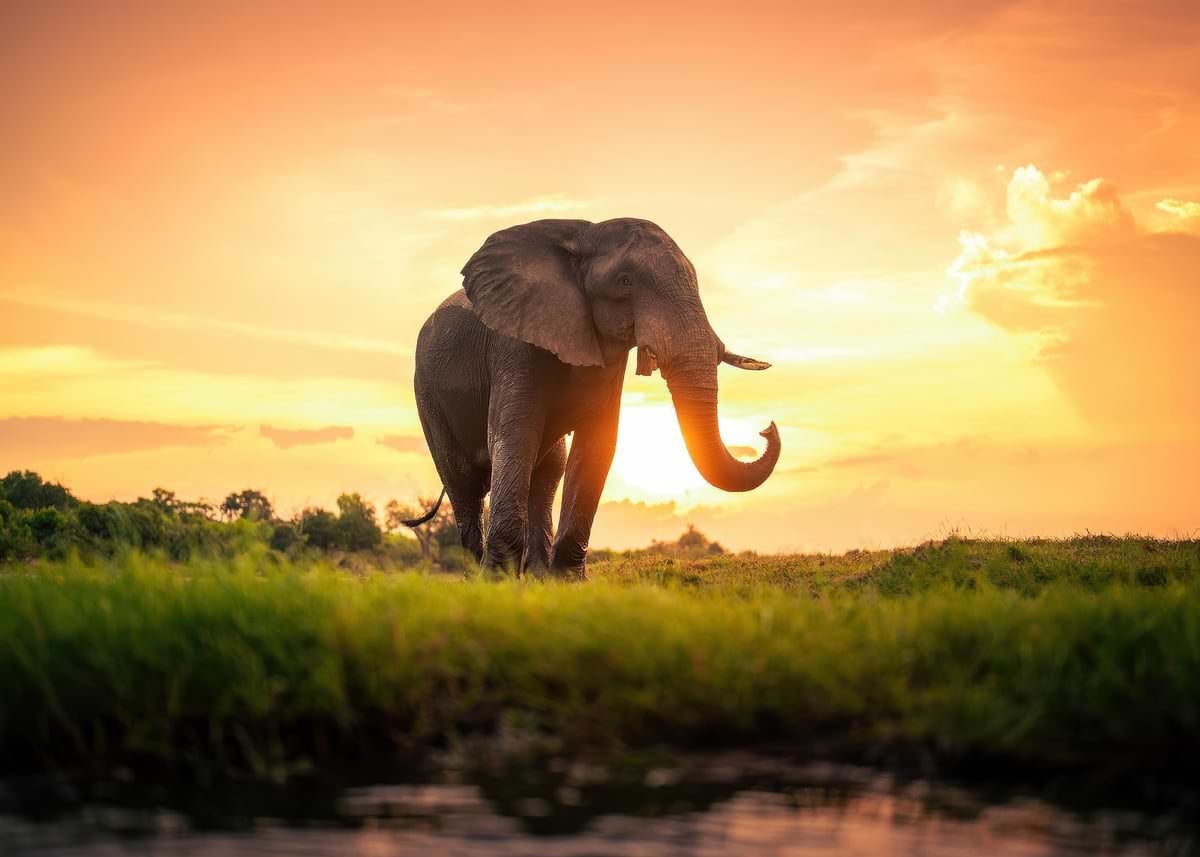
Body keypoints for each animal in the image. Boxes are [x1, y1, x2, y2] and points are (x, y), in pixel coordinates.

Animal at [404, 217, 780, 577]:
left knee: (547, 470)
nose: (766, 428)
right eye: (625, 282)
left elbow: (597, 442)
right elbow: (514, 436)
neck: (582, 236)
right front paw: (497, 583)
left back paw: (535, 575)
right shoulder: (515, 345)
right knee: (463, 481)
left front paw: (567, 582)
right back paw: (476, 576)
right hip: (427, 394)